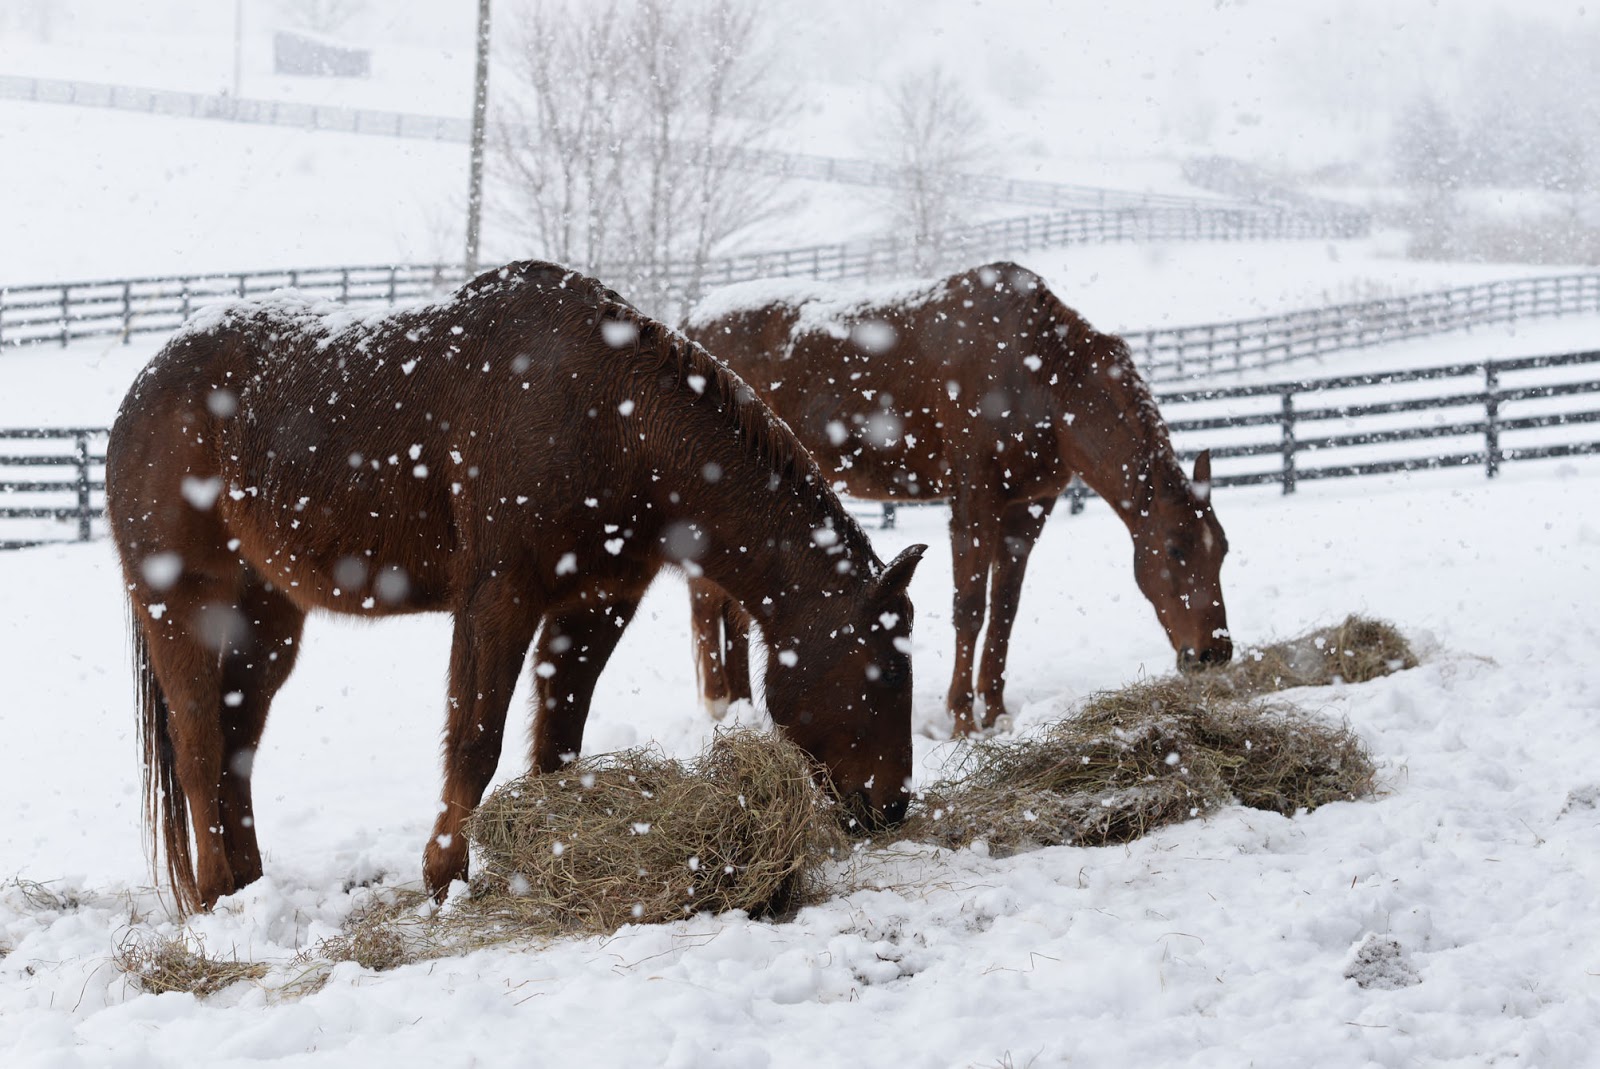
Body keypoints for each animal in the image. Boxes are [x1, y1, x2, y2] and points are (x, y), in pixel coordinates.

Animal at [106, 260, 926, 914]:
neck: (614, 418)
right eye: (885, 670)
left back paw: (249, 885)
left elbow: (559, 739)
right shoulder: (499, 600)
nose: (891, 806)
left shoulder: (597, 604)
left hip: (269, 614)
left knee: (238, 738)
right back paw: (215, 895)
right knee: (200, 742)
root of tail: (142, 390)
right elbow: (476, 739)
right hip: (181, 602)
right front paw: (444, 878)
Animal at [682, 261, 1230, 736]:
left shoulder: (1029, 508)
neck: (1039, 374)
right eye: (1176, 549)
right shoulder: (974, 500)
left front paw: (996, 712)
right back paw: (719, 706)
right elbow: (969, 606)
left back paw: (744, 707)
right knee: (707, 599)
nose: (1214, 653)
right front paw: (963, 719)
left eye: (1222, 550)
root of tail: (691, 323)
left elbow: (1004, 608)